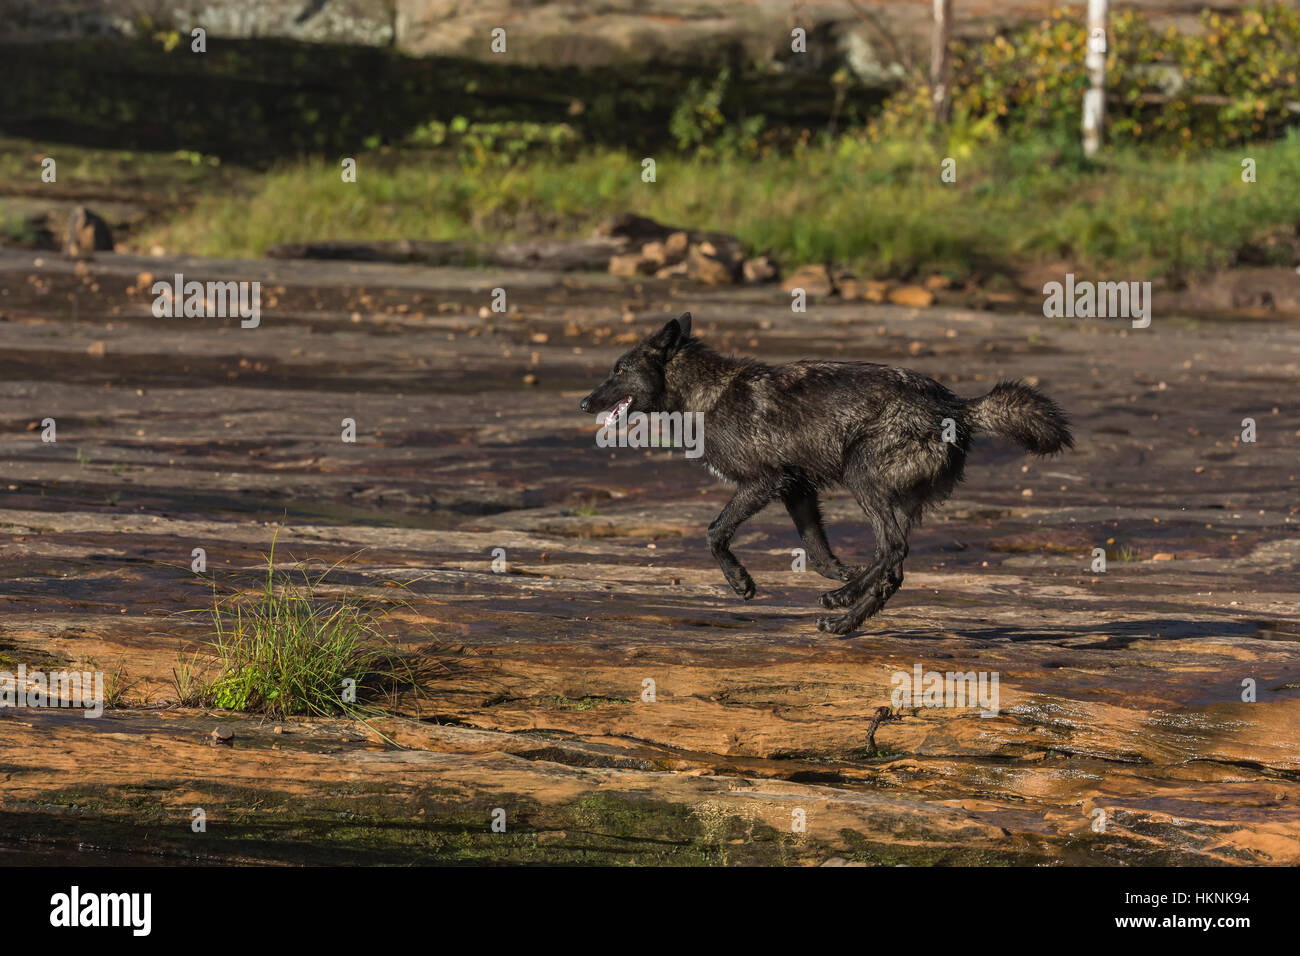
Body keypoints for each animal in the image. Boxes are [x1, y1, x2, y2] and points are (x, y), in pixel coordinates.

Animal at [580, 313, 1073, 635]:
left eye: (619, 370)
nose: (584, 402)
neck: (704, 395)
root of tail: (958, 406)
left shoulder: (764, 482)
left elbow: (715, 532)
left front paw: (741, 582)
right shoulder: (796, 488)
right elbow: (816, 552)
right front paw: (840, 572)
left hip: (862, 475)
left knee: (893, 548)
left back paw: (843, 601)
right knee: (893, 567)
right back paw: (844, 618)